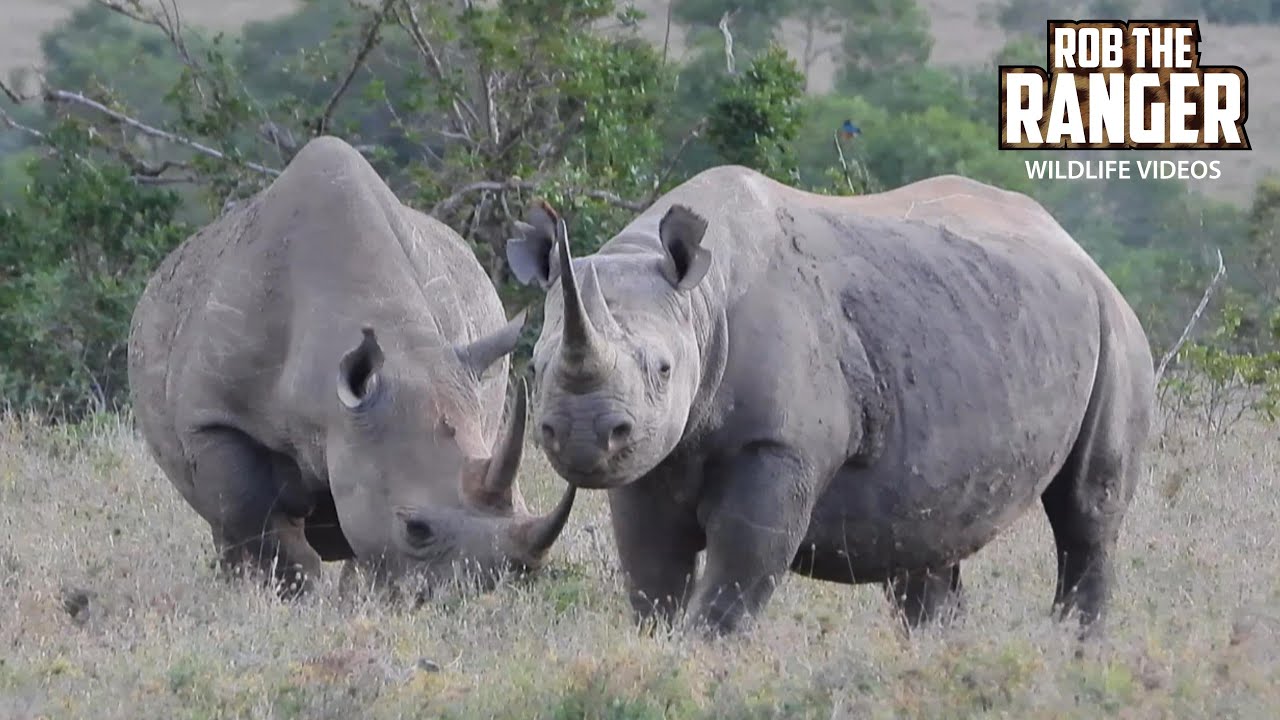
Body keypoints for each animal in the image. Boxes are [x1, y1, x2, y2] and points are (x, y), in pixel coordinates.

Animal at [506, 166, 1154, 636]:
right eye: (534, 367)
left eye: (663, 370)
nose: (583, 434)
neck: (700, 304)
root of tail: (1079, 250)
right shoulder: (652, 452)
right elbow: (651, 579)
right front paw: (658, 652)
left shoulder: (778, 448)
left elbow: (734, 581)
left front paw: (700, 664)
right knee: (929, 539)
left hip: (1115, 329)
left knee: (1085, 515)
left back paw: (1076, 650)